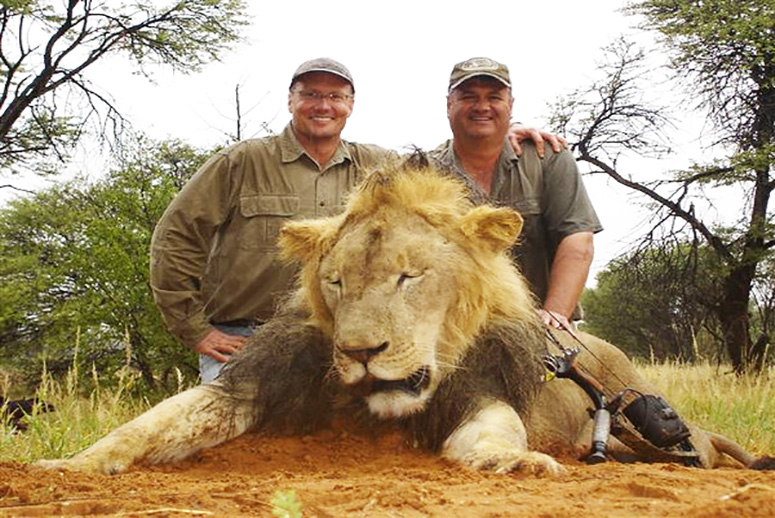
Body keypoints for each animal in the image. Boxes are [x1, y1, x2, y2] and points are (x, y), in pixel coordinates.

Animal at [35, 163, 773, 476]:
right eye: (337, 282)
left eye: (408, 276)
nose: (363, 352)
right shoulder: (258, 382)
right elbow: (152, 424)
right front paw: (67, 465)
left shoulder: (481, 388)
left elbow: (494, 430)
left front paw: (515, 462)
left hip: (652, 413)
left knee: (696, 444)